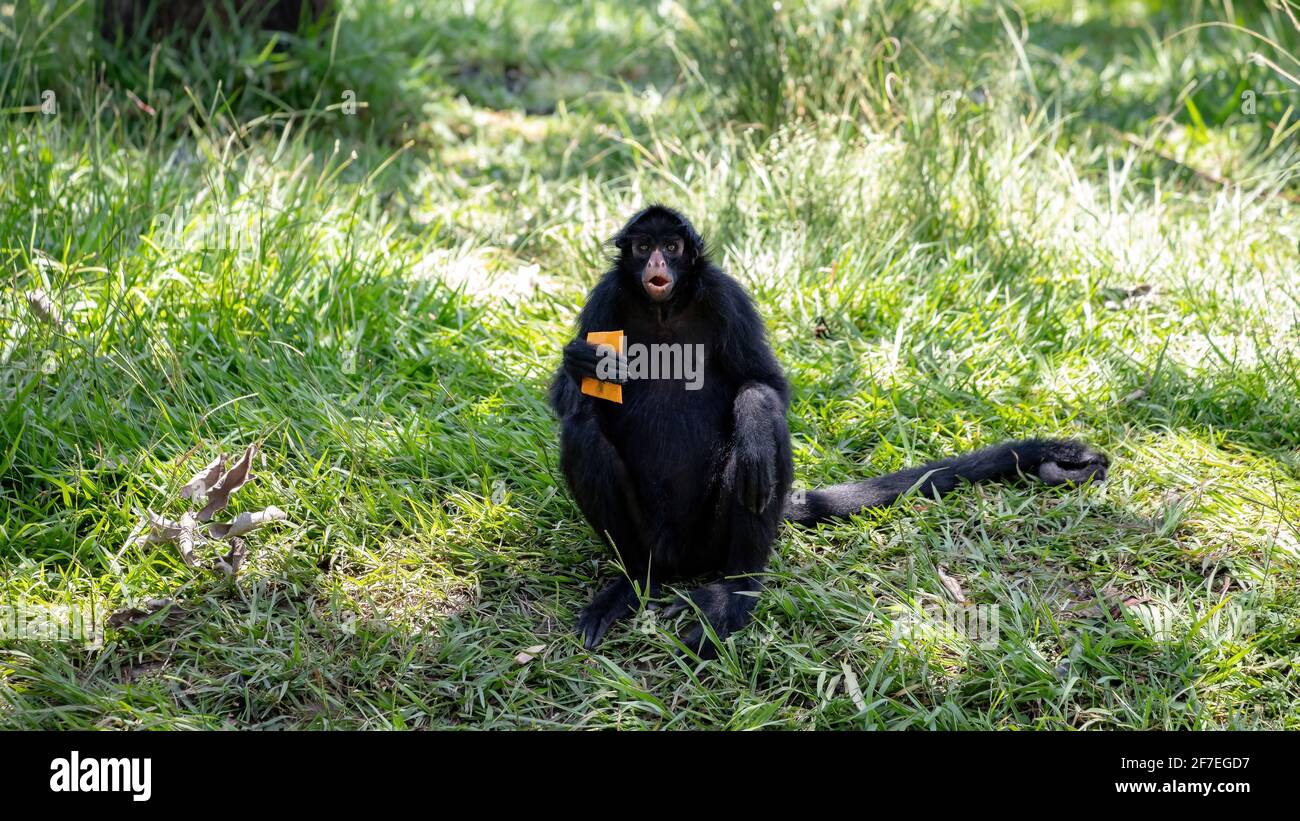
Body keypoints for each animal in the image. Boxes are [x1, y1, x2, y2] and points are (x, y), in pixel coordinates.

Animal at [549, 205, 1109, 658]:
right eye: (643, 247)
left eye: (672, 247)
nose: (657, 267)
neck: (666, 310)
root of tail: (677, 557)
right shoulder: (606, 298)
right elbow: (566, 400)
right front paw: (585, 363)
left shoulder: (726, 295)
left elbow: (767, 391)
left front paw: (754, 414)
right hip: (653, 537)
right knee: (581, 431)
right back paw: (635, 581)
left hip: (712, 536)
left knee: (759, 452)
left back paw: (733, 595)